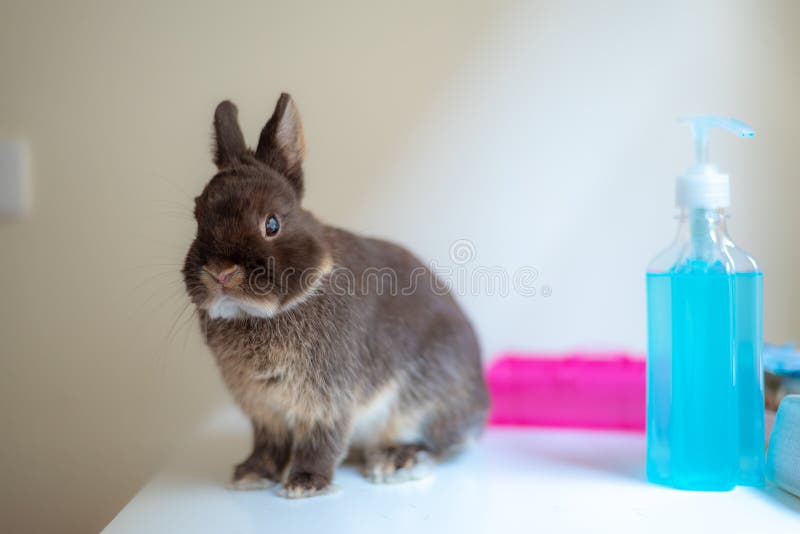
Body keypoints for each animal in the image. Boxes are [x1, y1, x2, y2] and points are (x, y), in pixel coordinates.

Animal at [183, 93, 489, 498]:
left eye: (272, 224)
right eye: (197, 215)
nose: (220, 273)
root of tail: (483, 406)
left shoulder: (327, 400)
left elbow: (321, 440)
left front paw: (304, 484)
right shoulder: (264, 411)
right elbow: (268, 445)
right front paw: (251, 475)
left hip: (425, 399)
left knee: (439, 443)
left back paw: (394, 461)